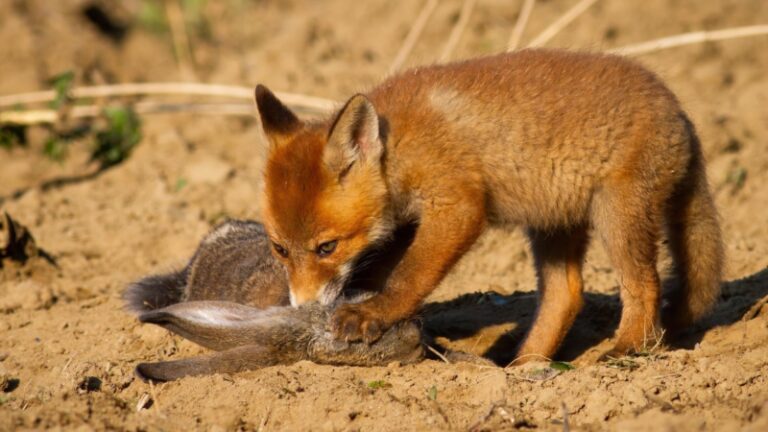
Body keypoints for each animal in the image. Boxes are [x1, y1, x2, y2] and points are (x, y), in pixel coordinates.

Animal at [255, 48, 724, 361]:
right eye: (280, 249)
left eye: (326, 248)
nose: (302, 307)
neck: (399, 146)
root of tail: (679, 111)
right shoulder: (408, 222)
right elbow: (381, 269)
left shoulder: (457, 206)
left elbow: (409, 276)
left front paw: (375, 312)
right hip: (553, 224)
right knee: (567, 295)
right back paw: (523, 366)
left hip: (617, 217)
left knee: (644, 285)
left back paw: (627, 348)